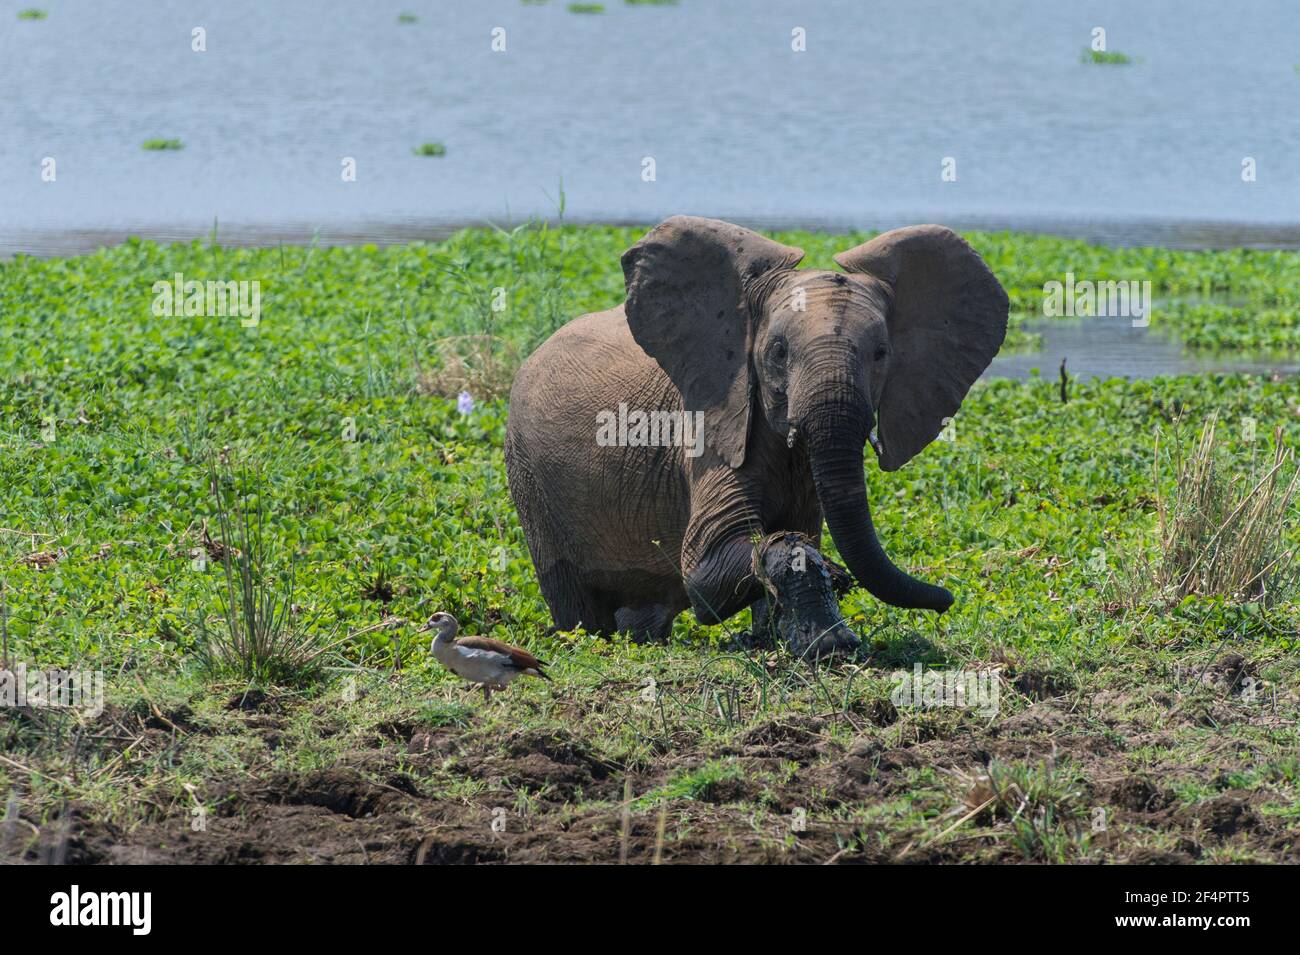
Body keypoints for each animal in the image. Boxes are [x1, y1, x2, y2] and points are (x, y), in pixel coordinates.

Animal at [505, 216, 1008, 654]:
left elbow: (797, 532)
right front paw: (826, 633)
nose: (946, 600)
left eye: (882, 353)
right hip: (531, 479)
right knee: (573, 600)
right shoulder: (711, 431)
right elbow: (704, 572)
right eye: (778, 351)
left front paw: (787, 637)